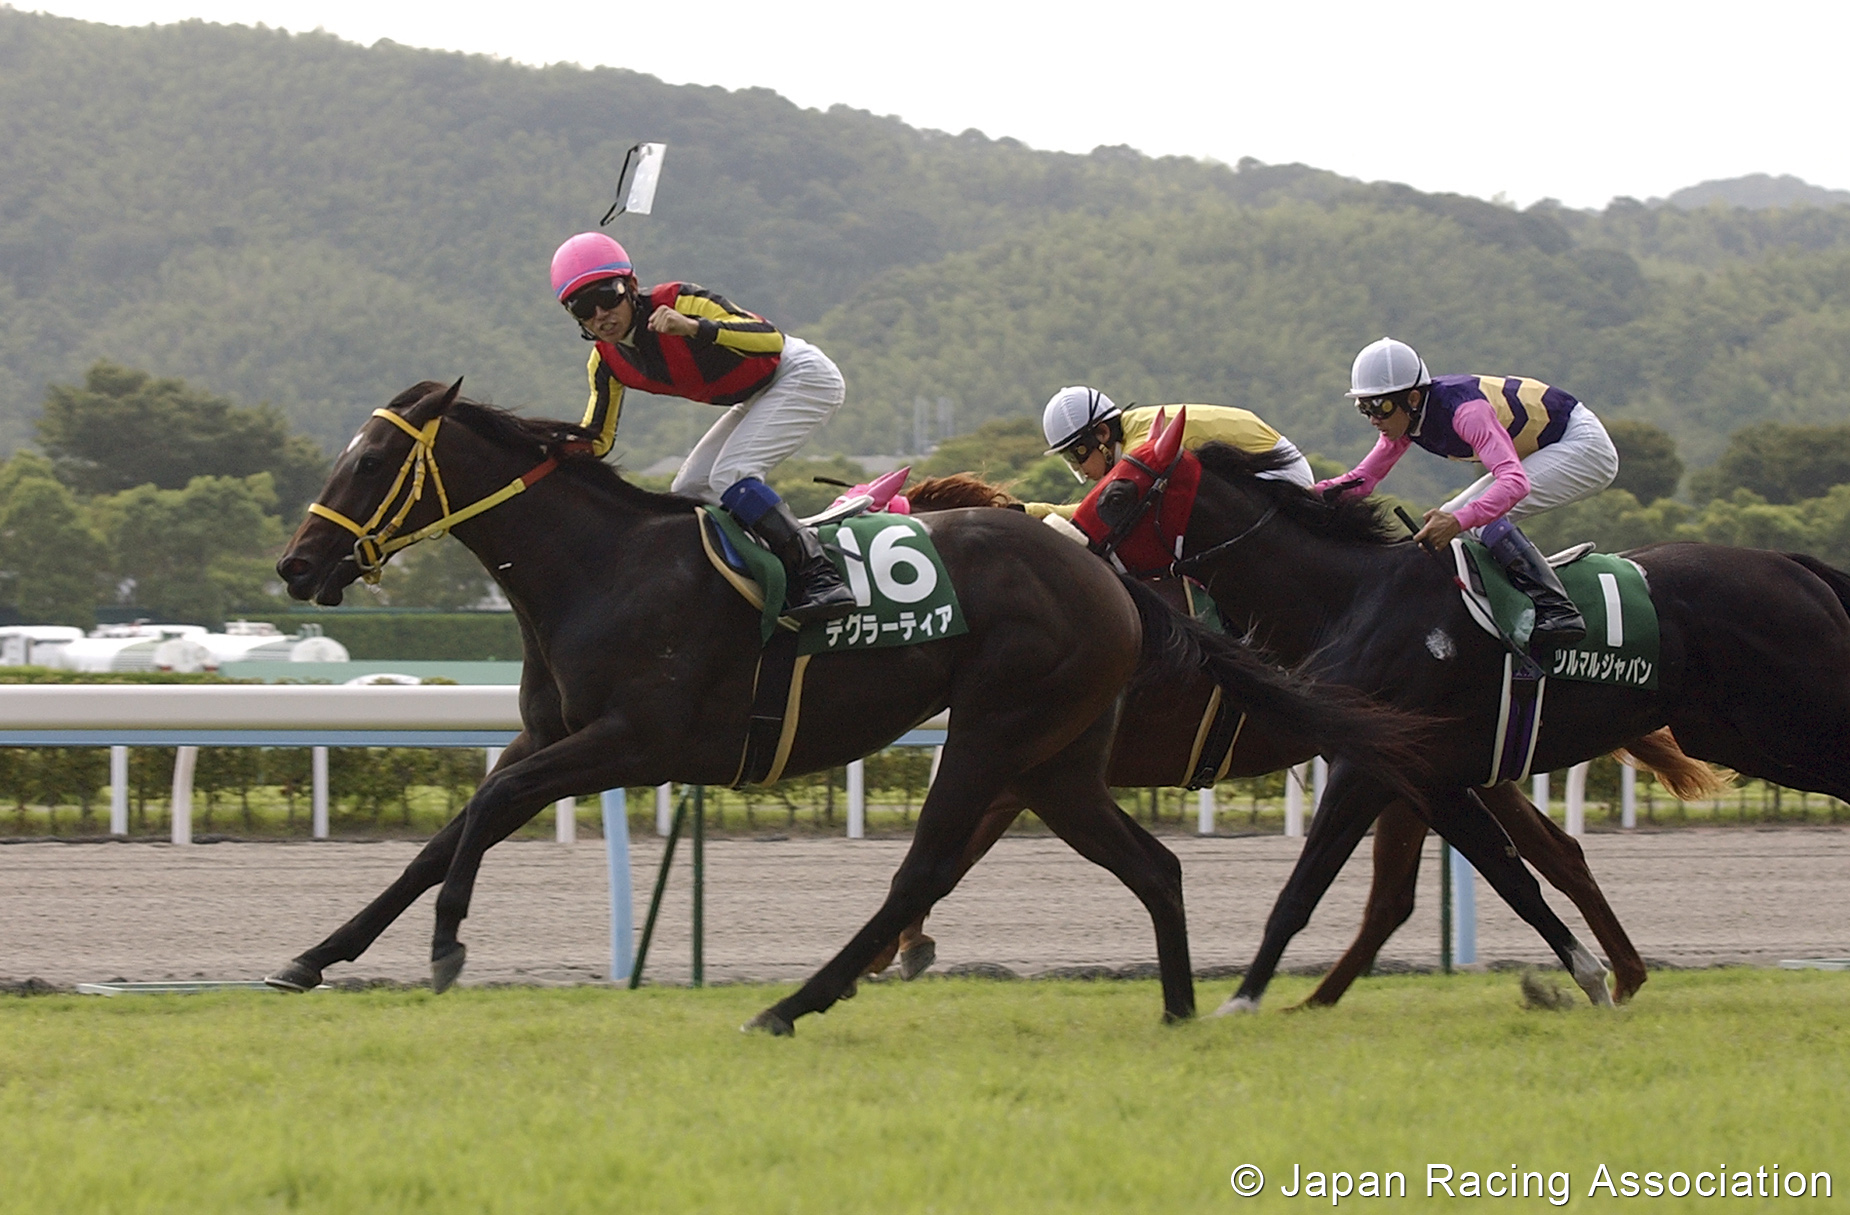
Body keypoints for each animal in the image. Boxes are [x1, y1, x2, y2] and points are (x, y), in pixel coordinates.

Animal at [266, 381, 1433, 1032]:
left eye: (373, 459)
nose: (297, 564)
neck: (601, 568)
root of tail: (1105, 576)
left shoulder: (630, 743)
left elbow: (478, 817)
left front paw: (447, 945)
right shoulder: (550, 736)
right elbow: (449, 830)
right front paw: (310, 958)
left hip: (996, 732)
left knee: (923, 868)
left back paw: (792, 1004)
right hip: (1054, 760)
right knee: (1155, 867)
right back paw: (1184, 1007)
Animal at [869, 475, 1727, 1005]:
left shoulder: (1033, 758)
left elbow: (956, 846)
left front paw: (896, 946)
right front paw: (899, 945)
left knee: (1439, 882)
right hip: (1450, 765)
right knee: (1540, 853)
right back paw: (1621, 970)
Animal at [1076, 419, 1850, 1013]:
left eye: (1118, 491)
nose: (1070, 545)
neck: (1351, 598)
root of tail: (1795, 563)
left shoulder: (1365, 767)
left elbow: (1299, 891)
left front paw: (1239, 1002)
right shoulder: (1425, 772)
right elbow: (1514, 880)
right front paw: (1589, 982)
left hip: (1791, 724)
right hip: (1744, 735)